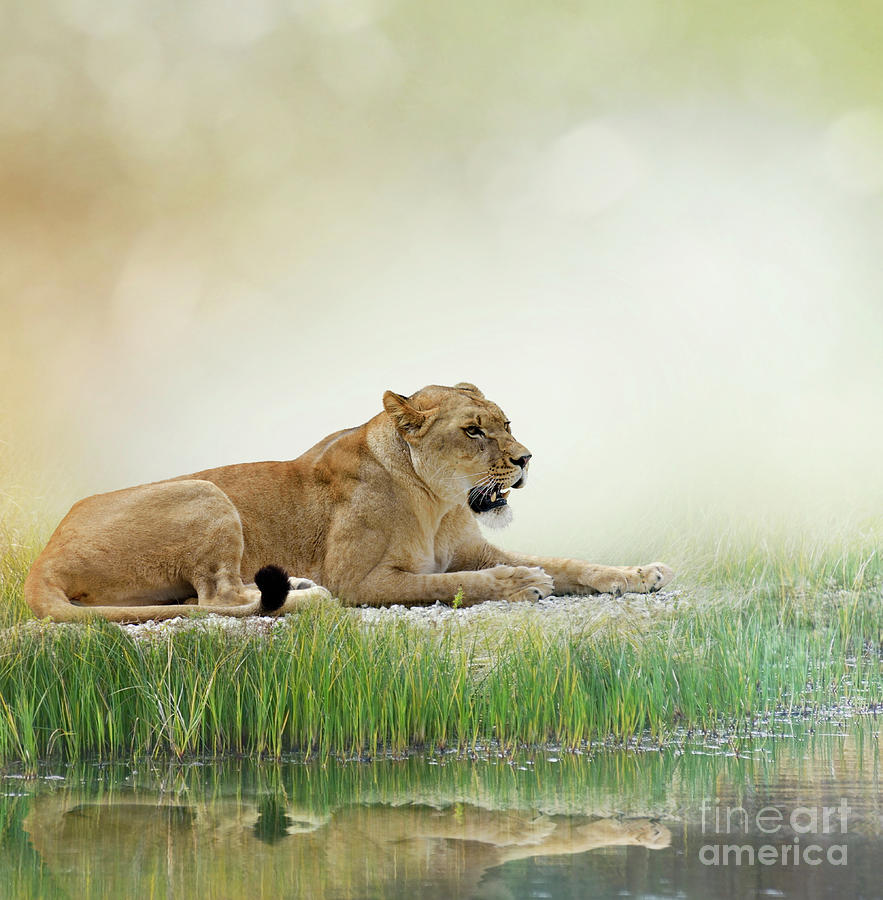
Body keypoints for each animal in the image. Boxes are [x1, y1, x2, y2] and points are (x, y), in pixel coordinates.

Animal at [24, 382, 672, 623]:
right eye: (472, 431)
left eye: (506, 423)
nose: (526, 459)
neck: (438, 504)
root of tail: (42, 559)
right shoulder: (362, 579)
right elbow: (452, 584)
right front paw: (520, 585)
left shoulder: (475, 549)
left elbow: (569, 563)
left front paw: (641, 574)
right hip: (204, 491)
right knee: (219, 596)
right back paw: (307, 595)